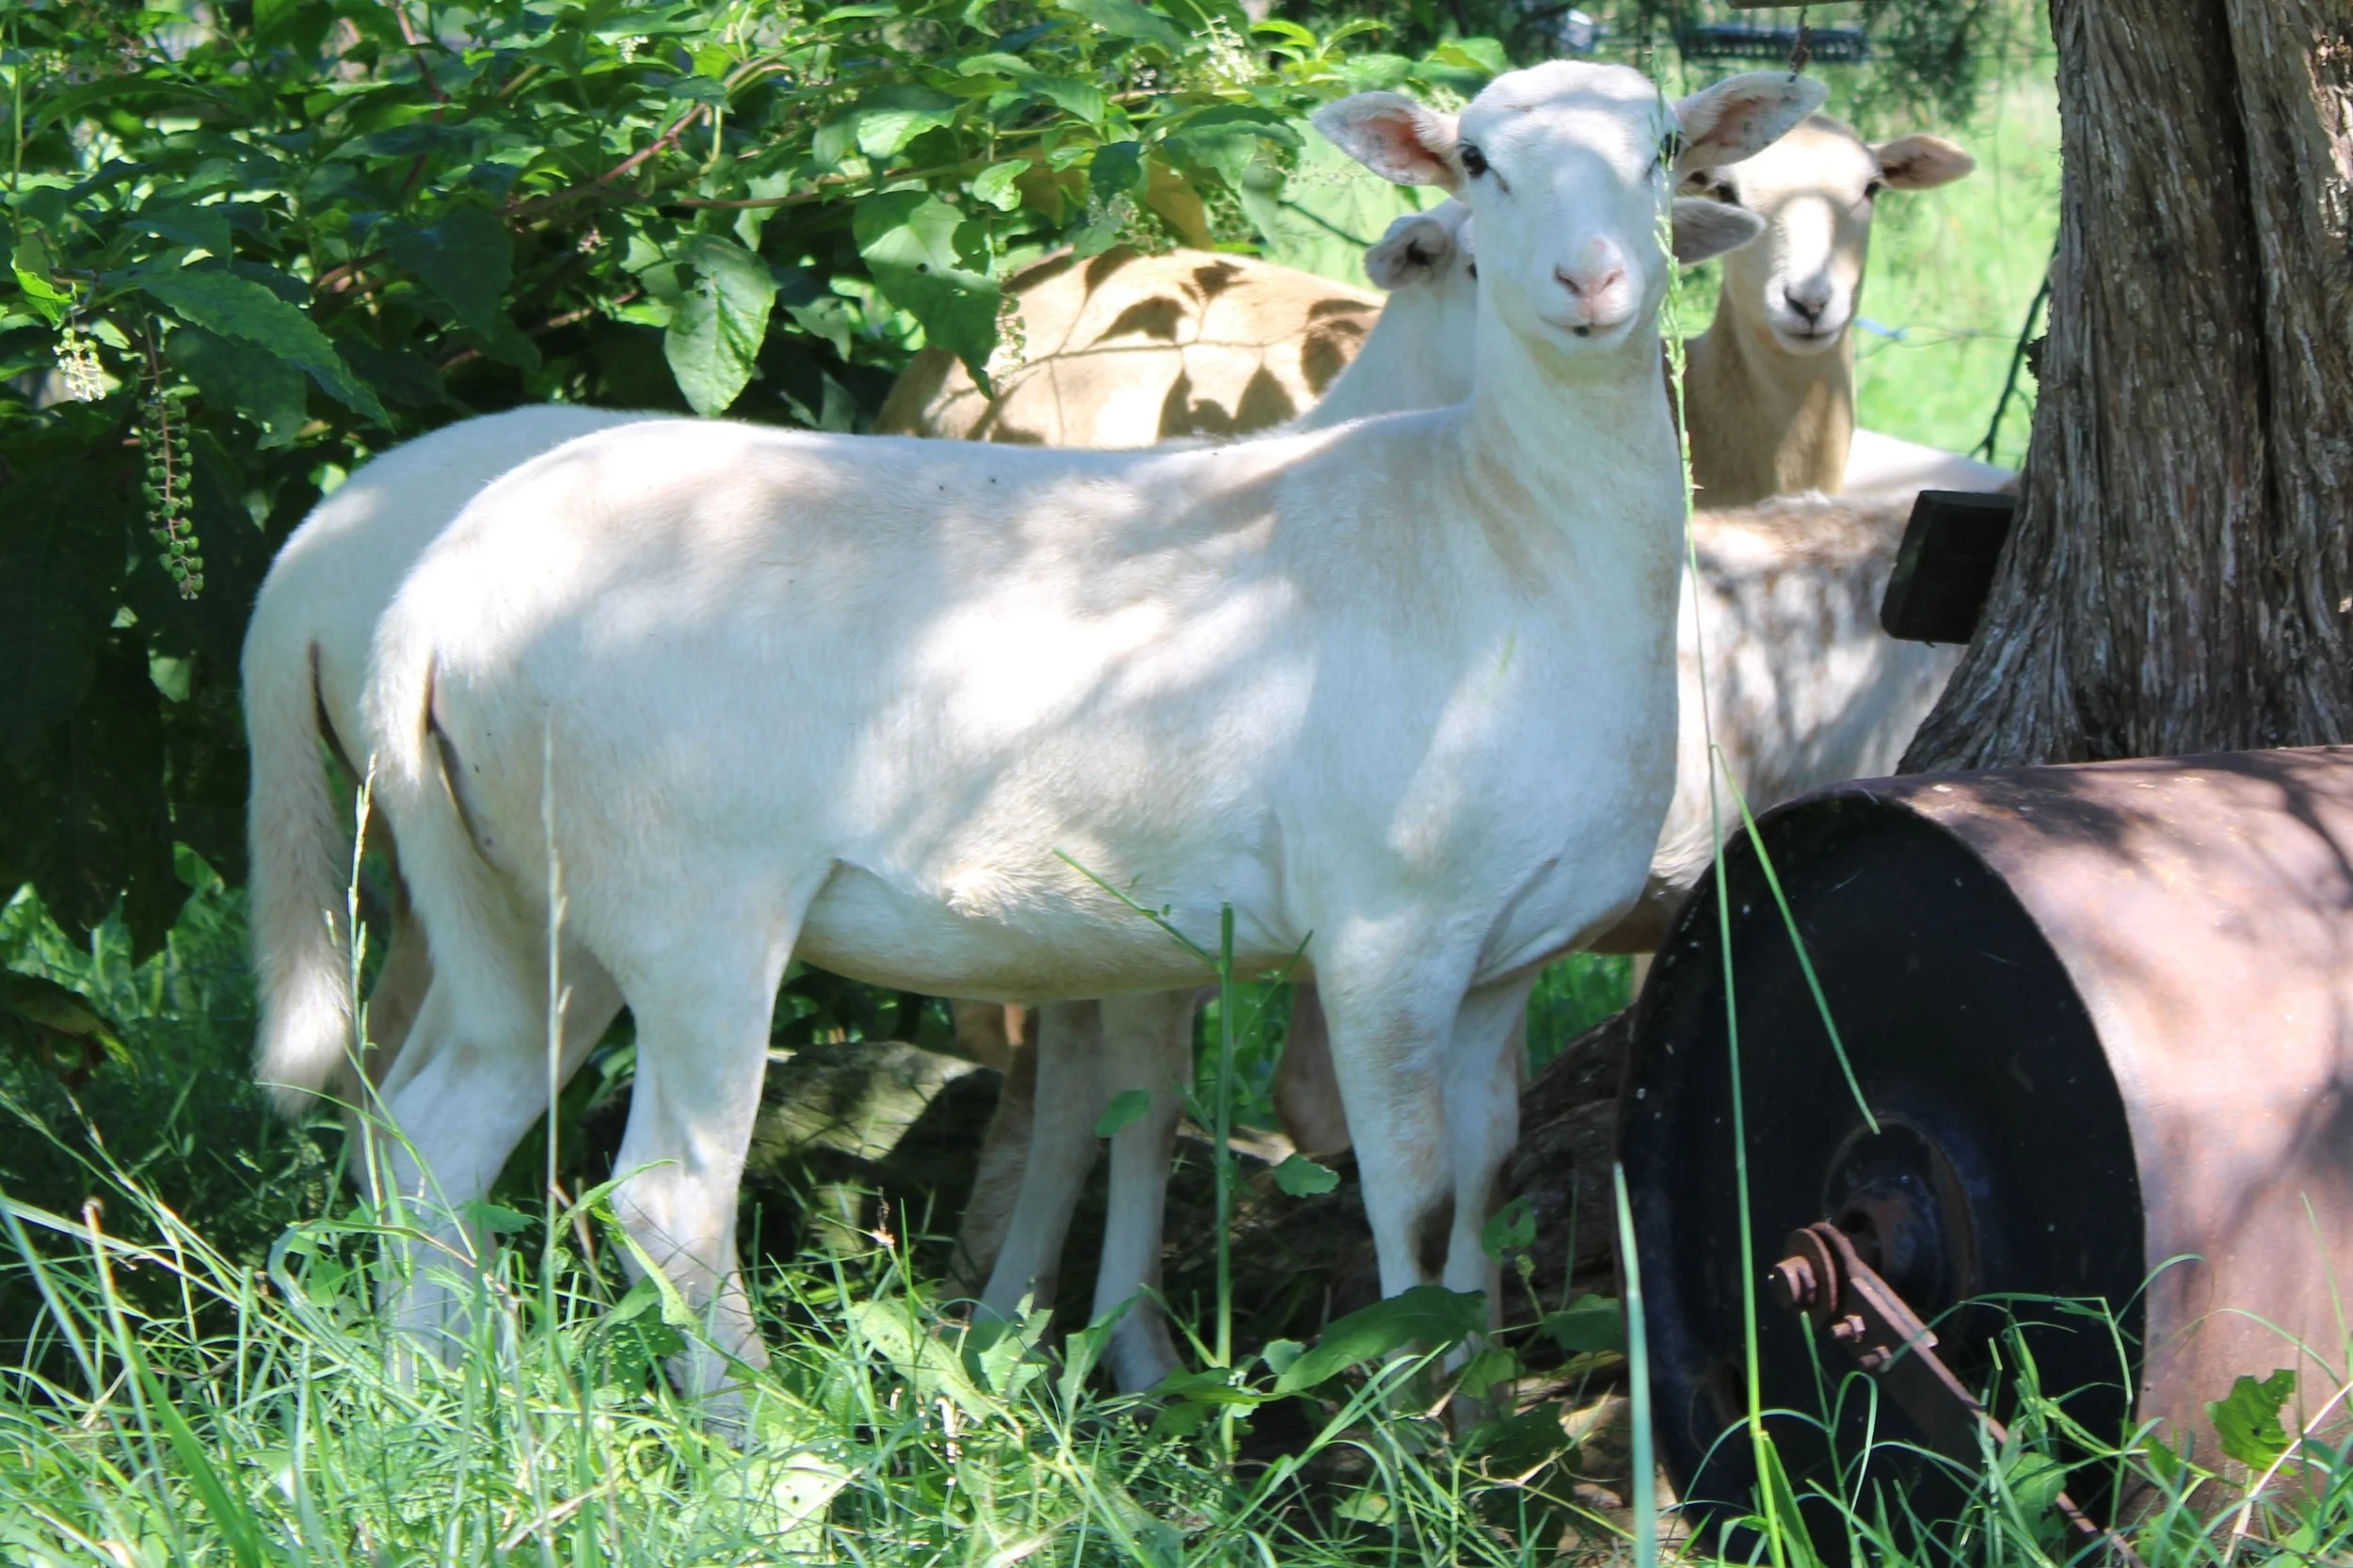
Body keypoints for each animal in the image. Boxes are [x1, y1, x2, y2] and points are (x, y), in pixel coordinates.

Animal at [319, 63, 1824, 1404]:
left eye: (1662, 146)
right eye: (1475, 163)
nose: (1591, 286)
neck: (1504, 530)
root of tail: (435, 598)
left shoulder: (1506, 953)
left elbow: (1485, 1185)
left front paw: (1468, 1409)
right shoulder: (1385, 934)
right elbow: (1410, 1193)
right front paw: (1396, 1437)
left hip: (535, 893)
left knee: (431, 1135)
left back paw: (426, 1408)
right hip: (689, 896)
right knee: (664, 1202)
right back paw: (771, 1445)